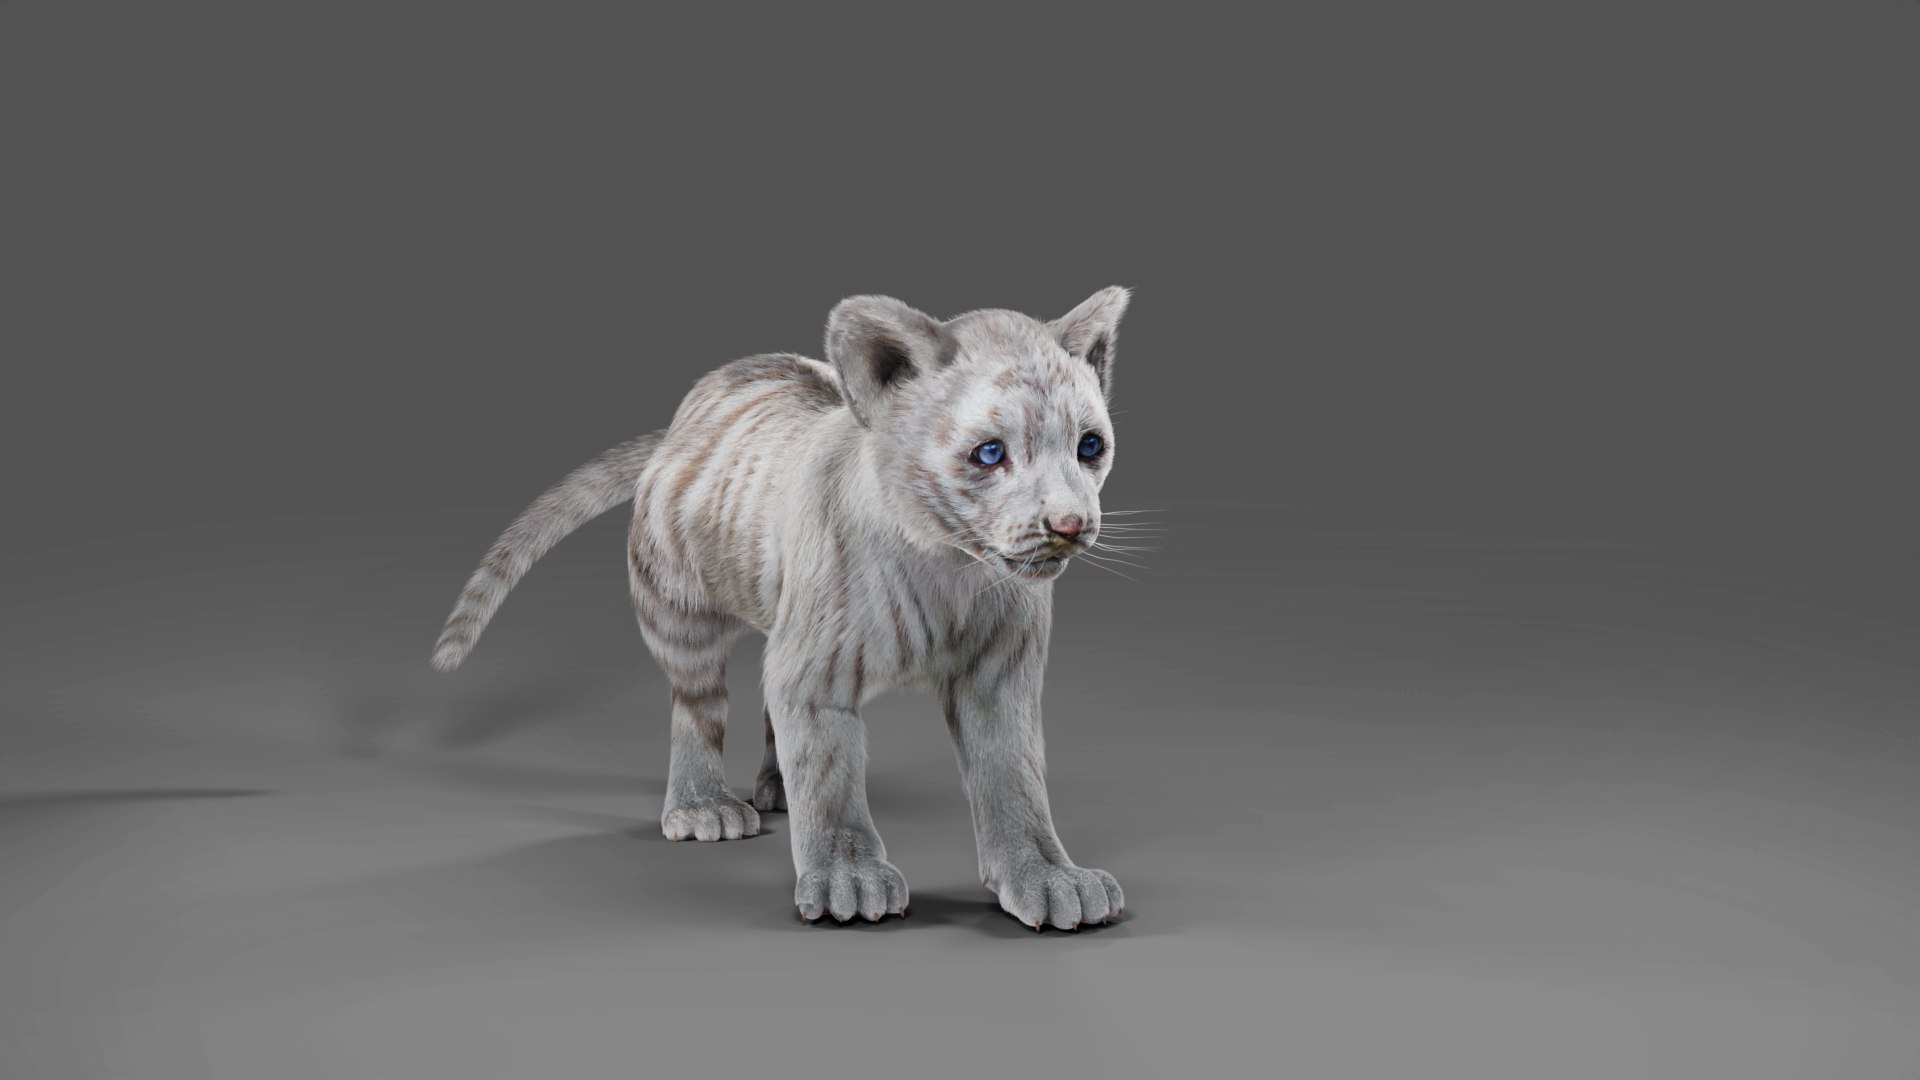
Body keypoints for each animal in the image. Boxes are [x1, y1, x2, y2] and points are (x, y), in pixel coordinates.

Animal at [432, 287, 1132, 930]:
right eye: (990, 453)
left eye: (1089, 446)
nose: (1069, 525)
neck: (949, 566)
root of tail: (682, 419)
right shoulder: (817, 674)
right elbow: (830, 771)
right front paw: (850, 877)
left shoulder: (997, 680)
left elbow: (1014, 778)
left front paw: (1049, 878)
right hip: (681, 616)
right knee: (699, 707)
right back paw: (704, 808)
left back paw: (777, 794)